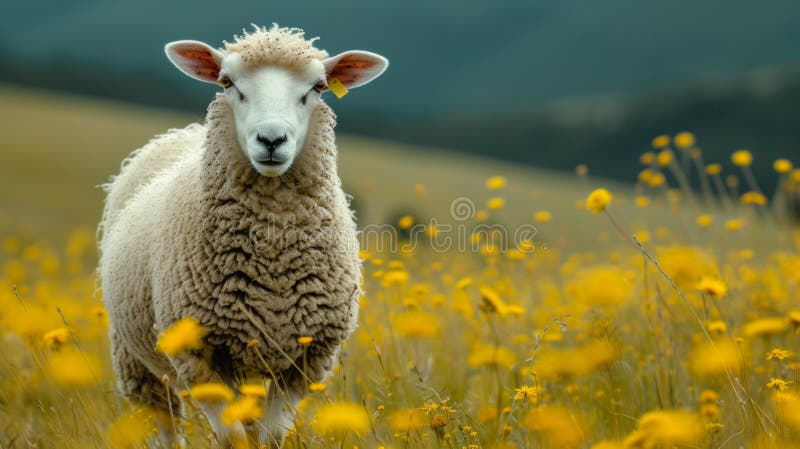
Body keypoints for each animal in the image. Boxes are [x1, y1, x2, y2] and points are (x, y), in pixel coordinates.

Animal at [97, 24, 388, 448]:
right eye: (228, 82)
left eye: (318, 87)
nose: (271, 140)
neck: (273, 260)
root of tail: (182, 132)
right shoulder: (197, 354)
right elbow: (232, 436)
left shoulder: (309, 358)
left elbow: (268, 437)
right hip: (136, 360)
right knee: (164, 420)